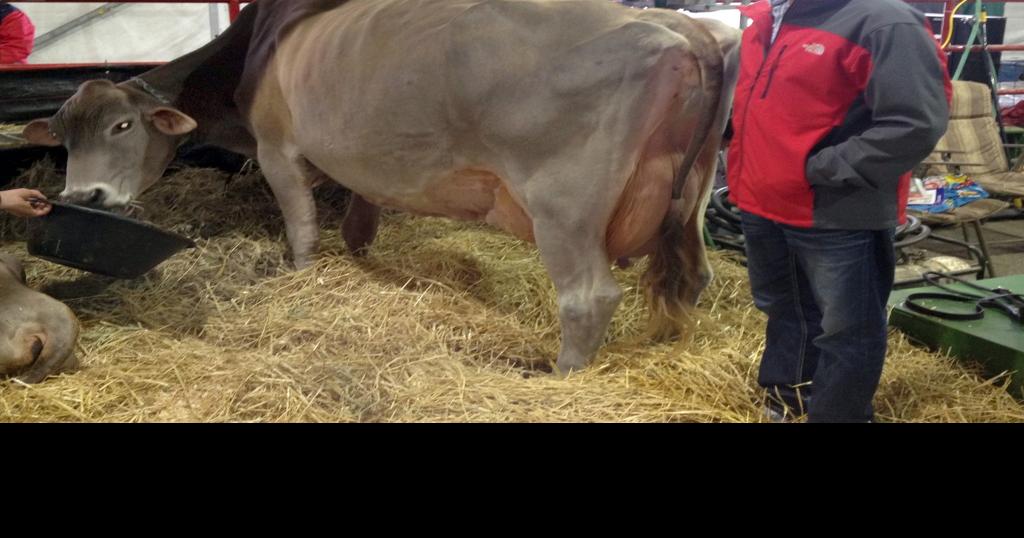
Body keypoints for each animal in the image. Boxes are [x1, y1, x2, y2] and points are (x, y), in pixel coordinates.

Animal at [22, 0, 740, 373]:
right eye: (62, 136)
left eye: (121, 125)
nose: (84, 198)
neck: (259, 50)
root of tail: (689, 27)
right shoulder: (361, 158)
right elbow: (358, 220)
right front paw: (364, 258)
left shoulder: (279, 151)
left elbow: (303, 228)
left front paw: (303, 275)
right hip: (689, 204)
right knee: (689, 276)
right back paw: (667, 343)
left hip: (563, 209)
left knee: (589, 298)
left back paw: (561, 377)